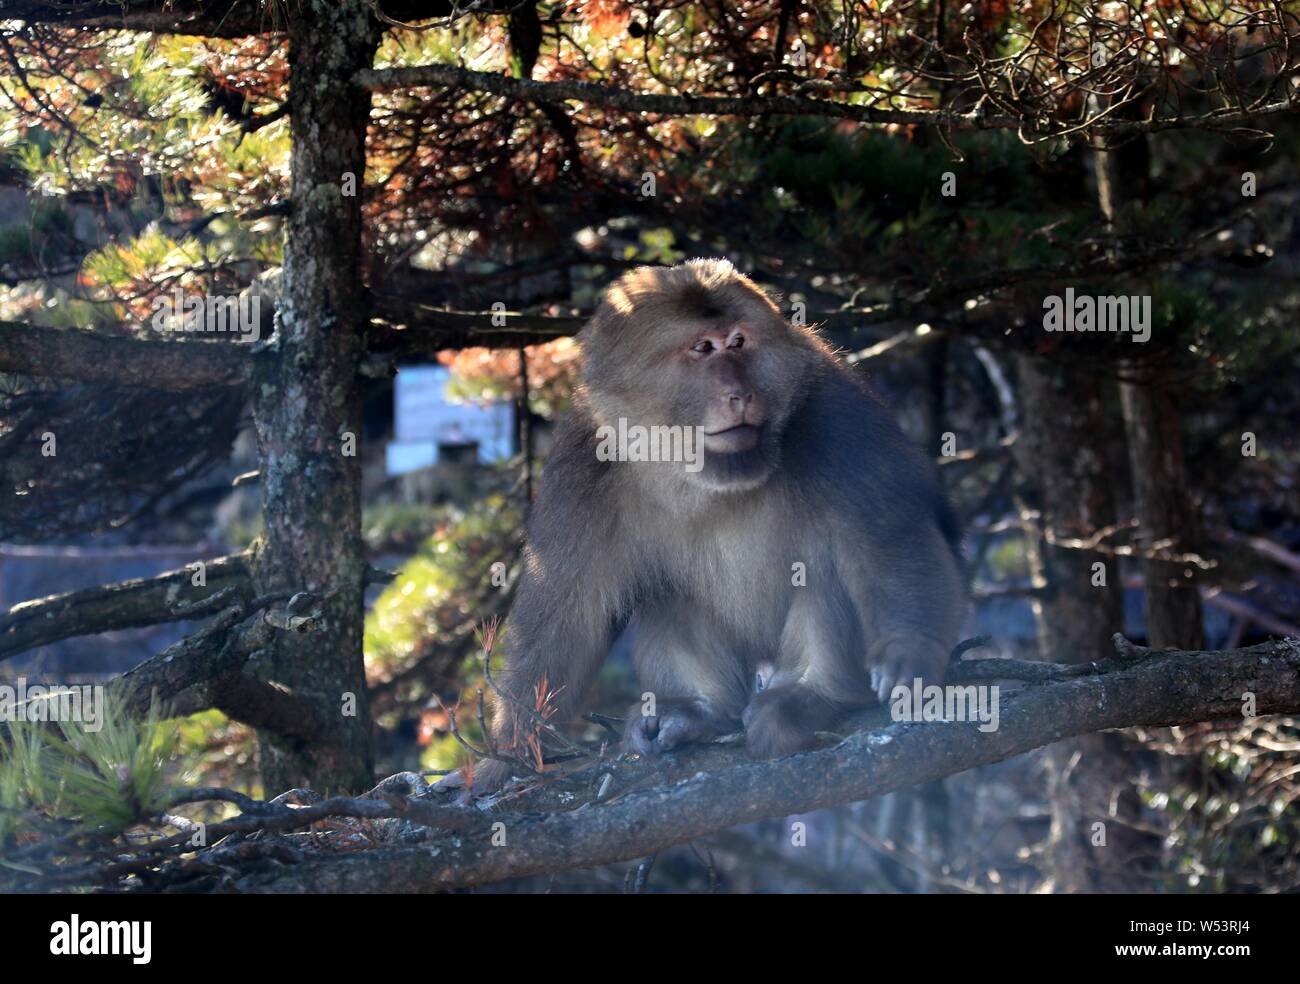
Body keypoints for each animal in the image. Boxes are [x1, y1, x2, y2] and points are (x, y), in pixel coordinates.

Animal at [471, 258, 964, 793]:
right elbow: (564, 613)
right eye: (703, 348)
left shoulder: (832, 413)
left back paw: (812, 697)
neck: (698, 472)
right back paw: (698, 712)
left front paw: (908, 651)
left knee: (822, 565)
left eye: (739, 342)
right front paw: (505, 759)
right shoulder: (582, 462)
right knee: (668, 592)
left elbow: (887, 530)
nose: (741, 393)